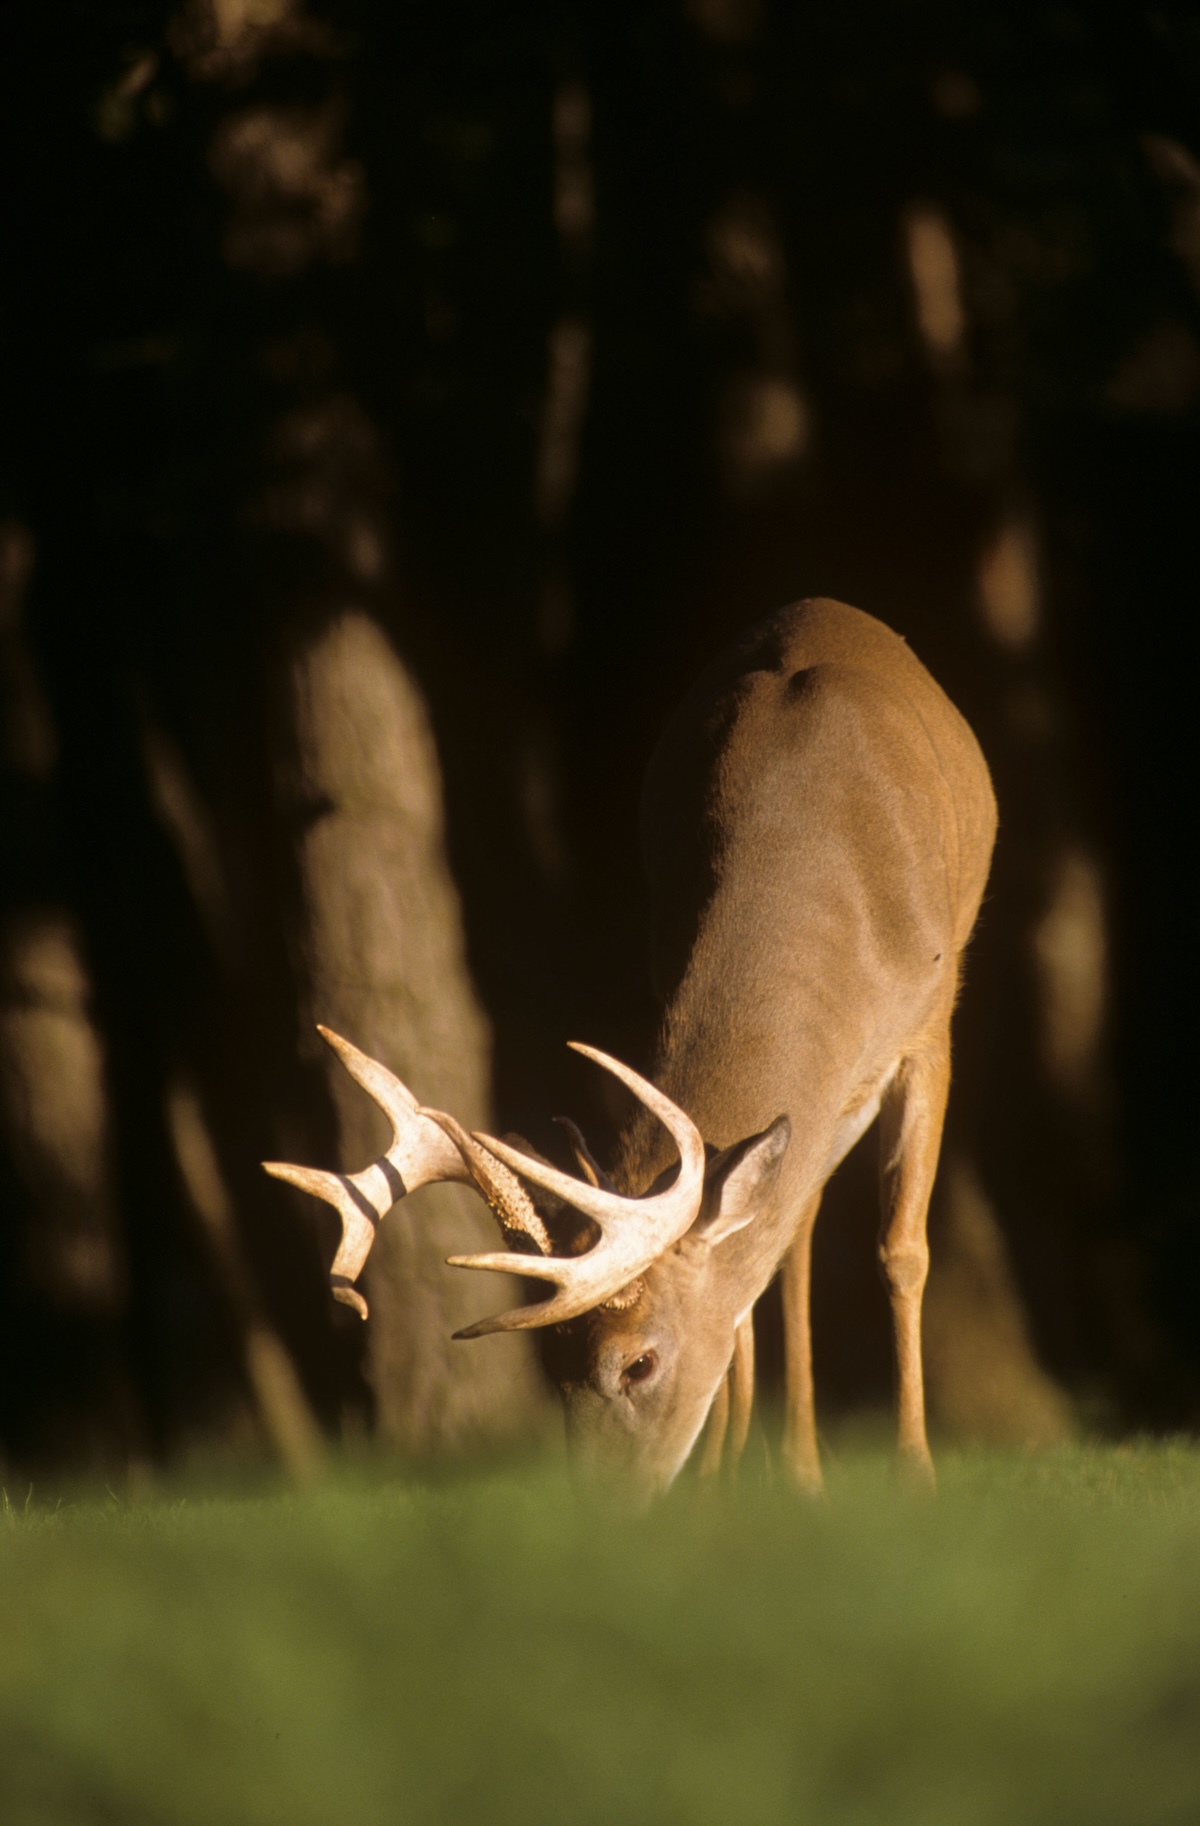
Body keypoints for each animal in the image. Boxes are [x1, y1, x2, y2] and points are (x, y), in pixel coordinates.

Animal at [264, 599, 997, 1496]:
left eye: (637, 1364)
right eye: (554, 1365)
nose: (603, 1507)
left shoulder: (931, 1024)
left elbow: (903, 1250)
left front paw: (917, 1474)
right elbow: (755, 1272)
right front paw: (725, 1481)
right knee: (788, 1239)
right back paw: (785, 1467)